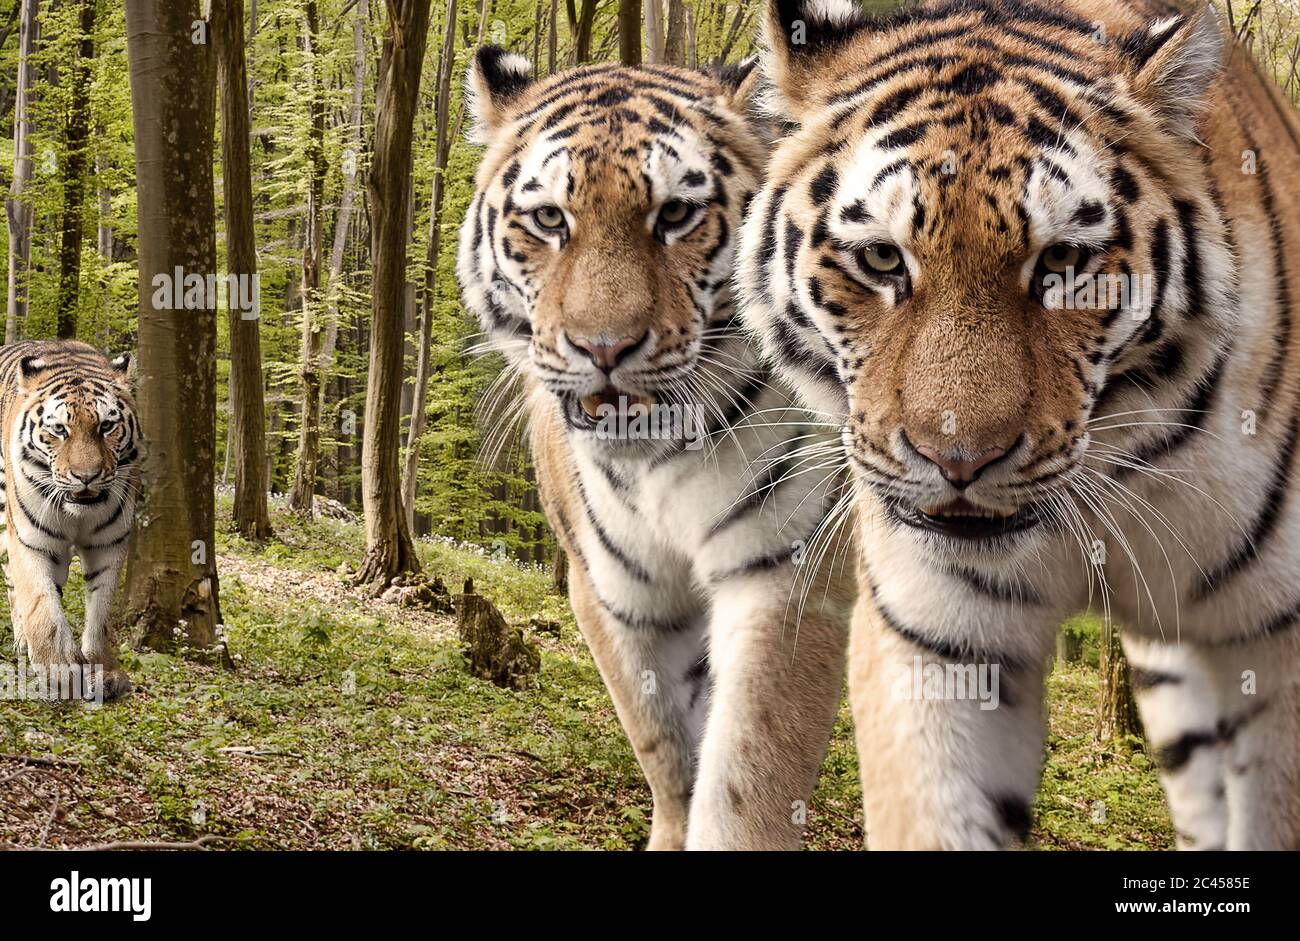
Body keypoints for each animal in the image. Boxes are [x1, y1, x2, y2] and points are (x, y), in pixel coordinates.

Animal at [0, 340, 140, 702]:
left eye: (106, 426)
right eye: (59, 429)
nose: (86, 476)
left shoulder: (109, 545)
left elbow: (101, 610)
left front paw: (102, 670)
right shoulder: (30, 542)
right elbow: (41, 604)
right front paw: (59, 671)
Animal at [457, 48, 854, 850]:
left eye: (674, 214)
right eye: (550, 219)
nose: (604, 347)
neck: (657, 463)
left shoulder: (786, 577)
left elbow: (750, 778)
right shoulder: (615, 592)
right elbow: (666, 748)